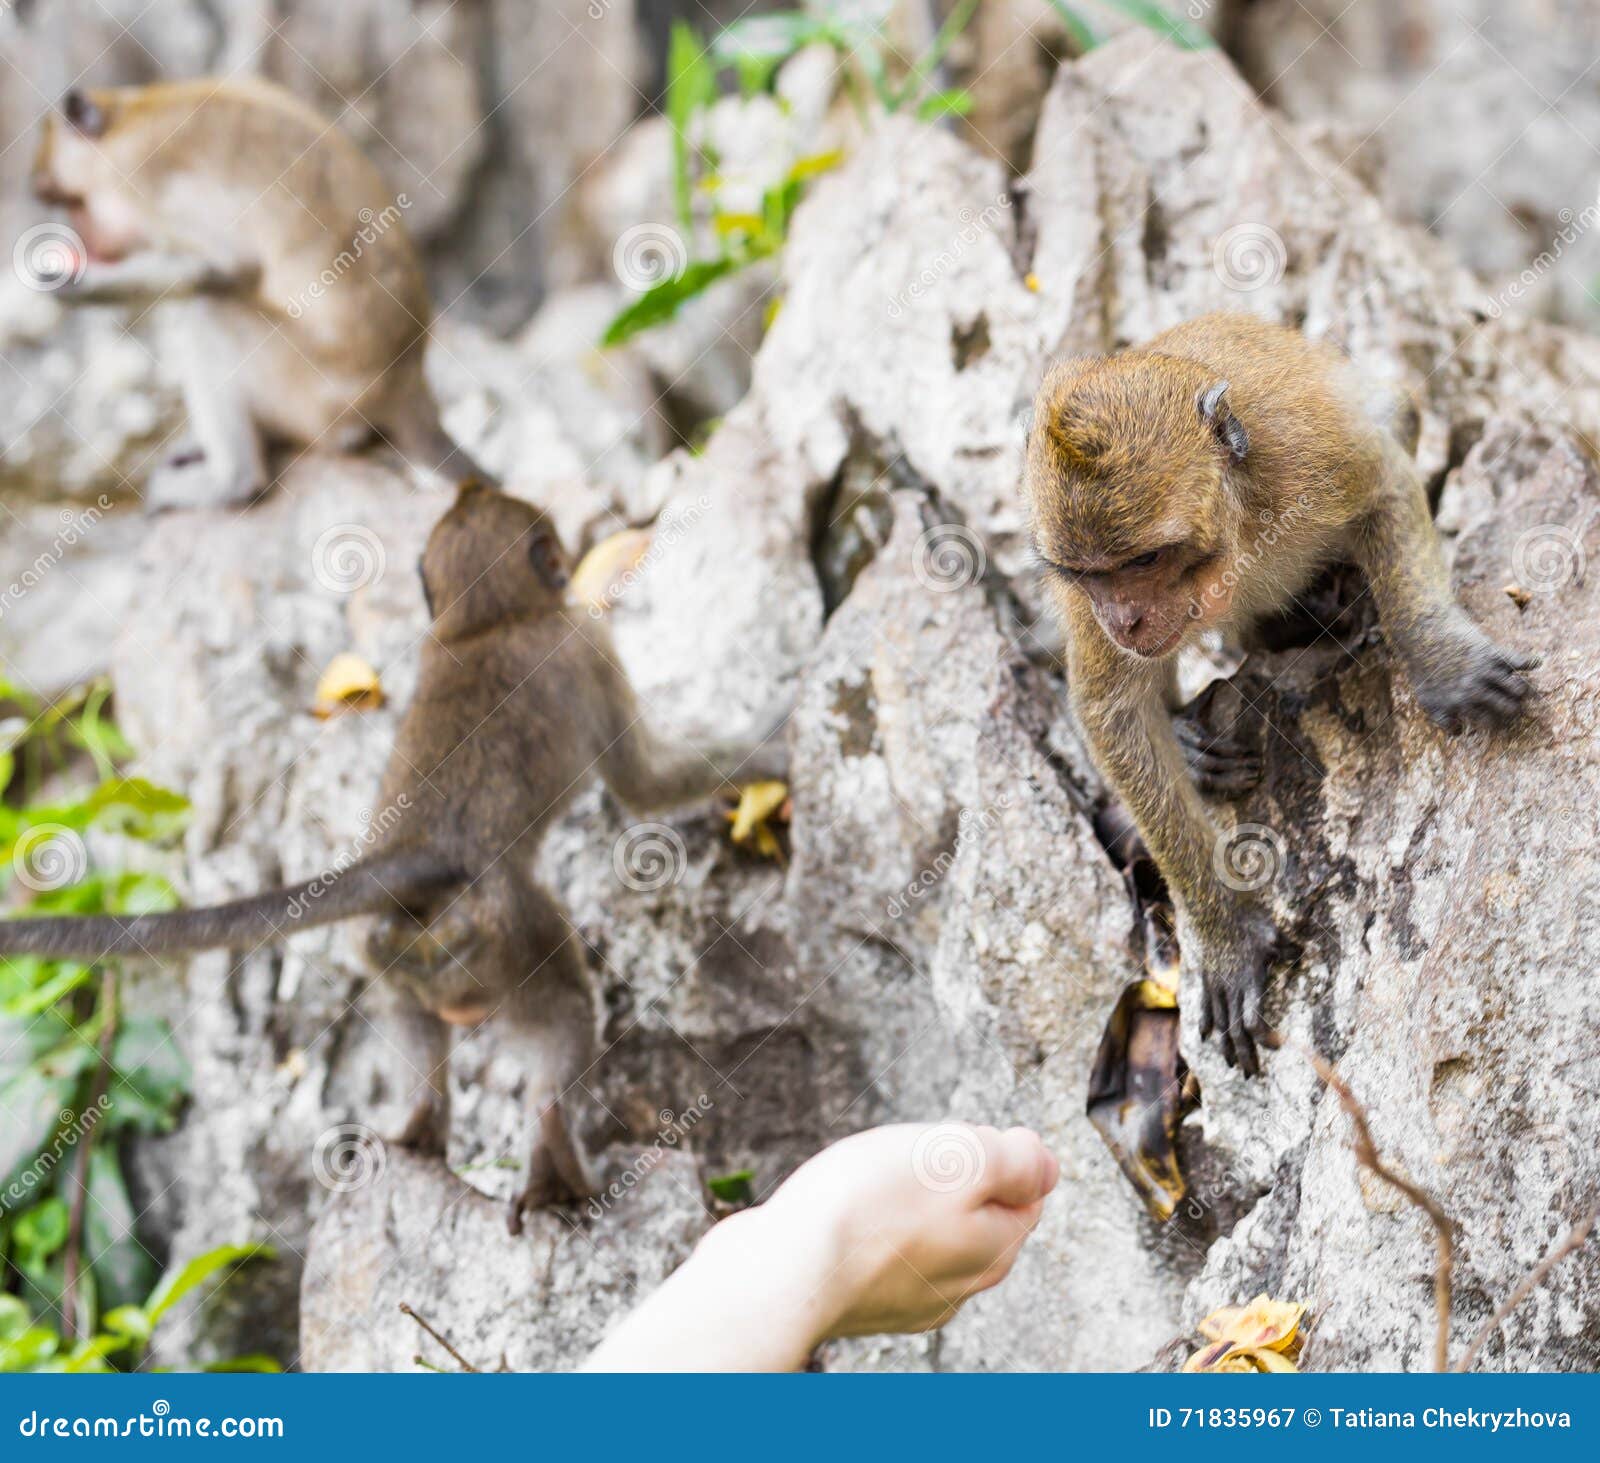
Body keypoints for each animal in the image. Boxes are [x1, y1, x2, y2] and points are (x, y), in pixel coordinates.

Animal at [0, 483, 788, 1232]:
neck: (484, 620)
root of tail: (419, 851)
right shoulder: (585, 639)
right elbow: (643, 782)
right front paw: (771, 754)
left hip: (394, 951)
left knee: (408, 1013)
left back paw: (416, 1129)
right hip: (510, 931)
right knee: (565, 1007)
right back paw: (556, 1166)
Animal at [28, 78, 475, 511]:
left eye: (73, 203)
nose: (86, 238)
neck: (131, 116)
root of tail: (406, 386)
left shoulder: (155, 184)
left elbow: (231, 265)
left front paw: (76, 286)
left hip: (311, 394)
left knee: (209, 308)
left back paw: (234, 482)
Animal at [1022, 312, 1535, 1075]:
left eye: (1144, 560)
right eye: (1086, 573)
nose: (1123, 619)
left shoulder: (1309, 458)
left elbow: (1384, 483)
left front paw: (1441, 660)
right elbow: (1112, 713)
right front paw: (1226, 933)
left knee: (1389, 409)